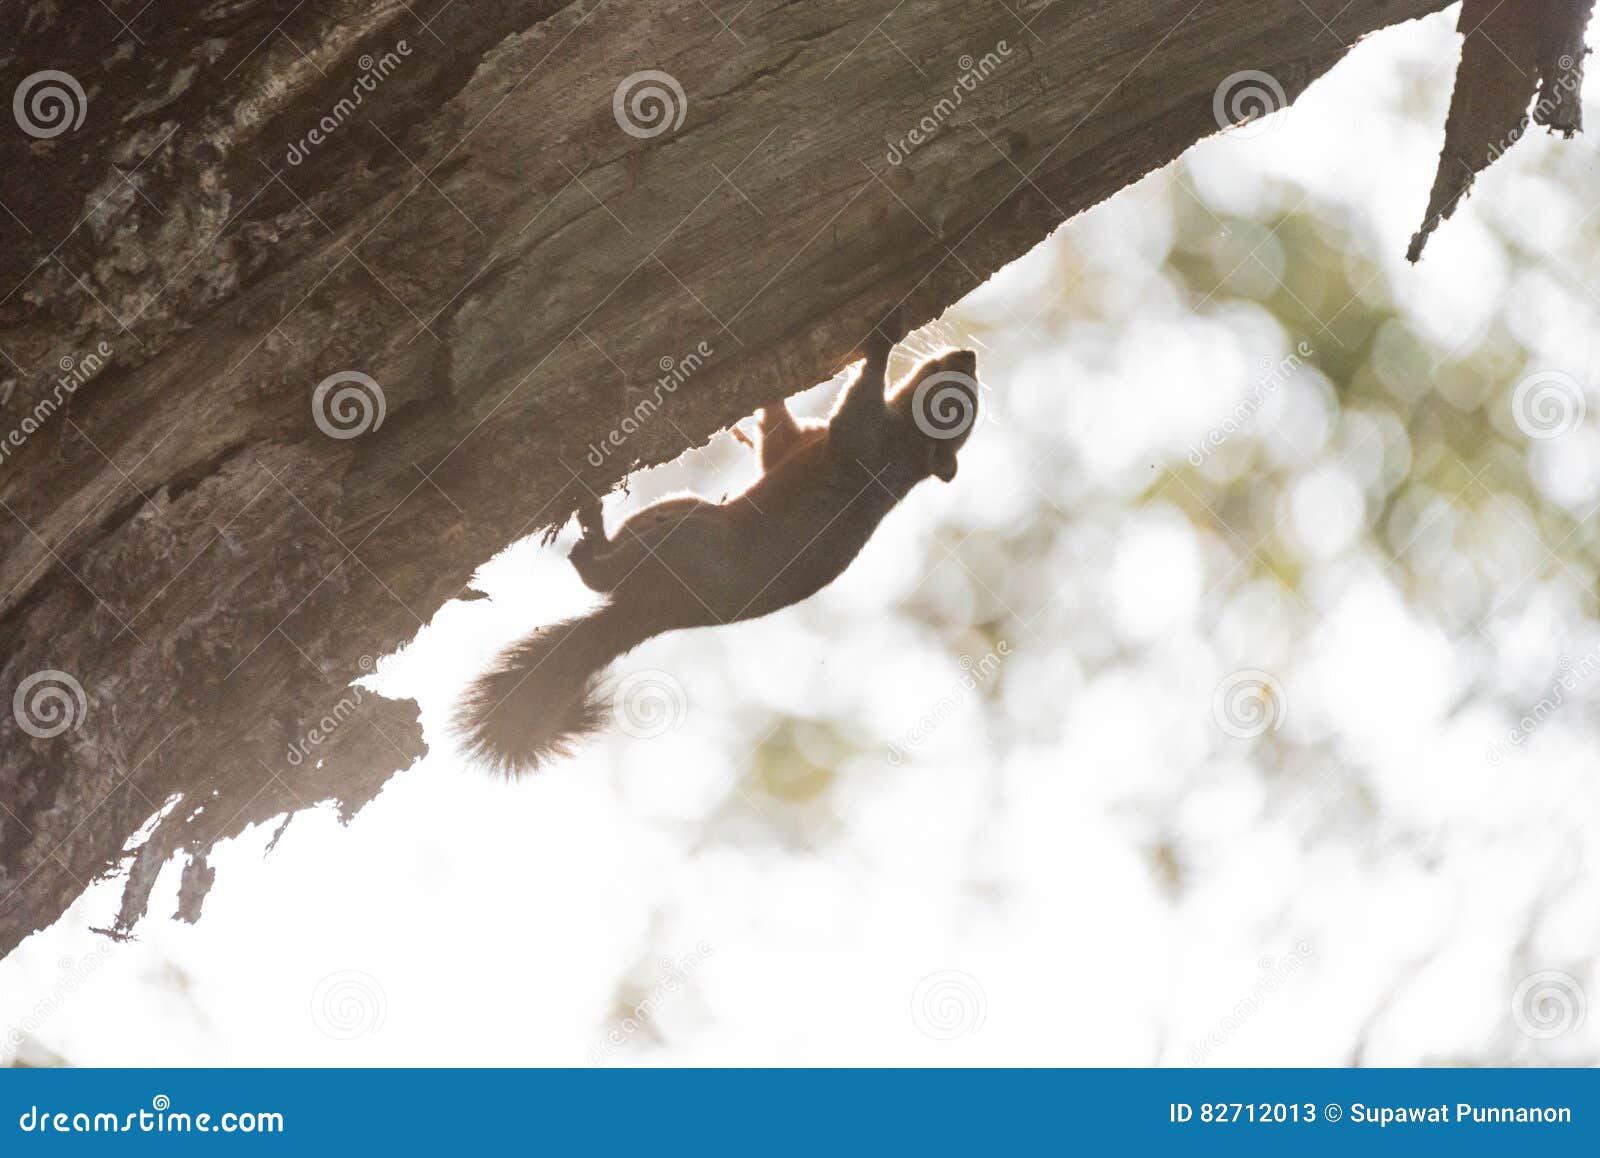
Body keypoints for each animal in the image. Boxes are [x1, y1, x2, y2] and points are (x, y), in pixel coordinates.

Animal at [453, 322, 981, 775]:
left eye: (960, 404)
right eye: (970, 388)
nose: (969, 356)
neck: (905, 445)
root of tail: (653, 612)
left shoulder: (864, 440)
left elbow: (857, 397)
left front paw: (882, 341)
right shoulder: (809, 444)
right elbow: (779, 442)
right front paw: (772, 397)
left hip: (688, 538)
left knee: (601, 578)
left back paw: (588, 542)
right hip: (675, 510)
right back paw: (591, 525)